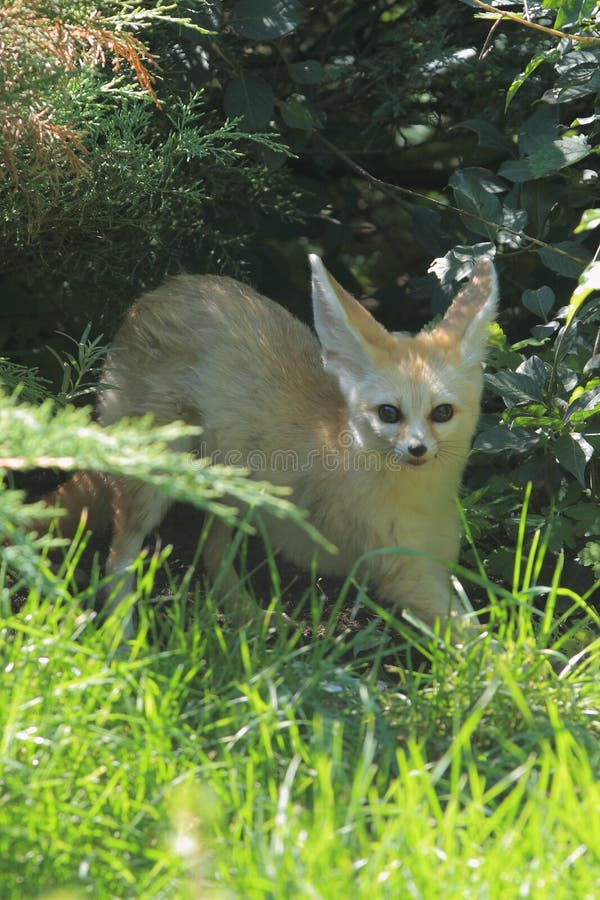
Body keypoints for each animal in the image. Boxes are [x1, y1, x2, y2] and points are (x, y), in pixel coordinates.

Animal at [42, 254, 498, 634]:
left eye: (442, 413)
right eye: (389, 413)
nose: (417, 450)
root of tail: (160, 293)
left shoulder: (437, 560)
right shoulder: (400, 570)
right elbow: (484, 646)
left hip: (231, 486)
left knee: (212, 553)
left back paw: (248, 616)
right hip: (156, 479)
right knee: (116, 561)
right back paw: (122, 638)